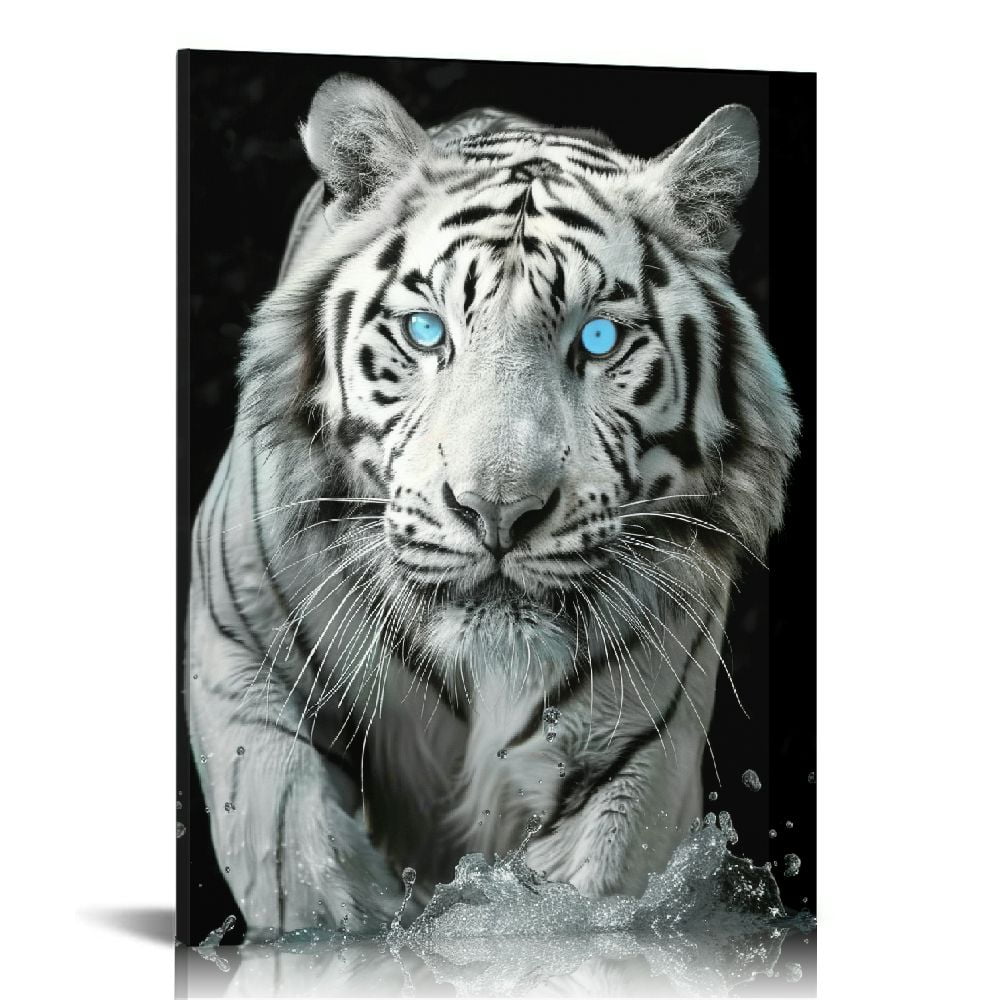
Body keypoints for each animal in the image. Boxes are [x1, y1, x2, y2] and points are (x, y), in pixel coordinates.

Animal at [186, 73, 799, 942]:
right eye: (424, 330)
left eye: (600, 338)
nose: (499, 512)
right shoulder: (244, 665)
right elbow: (299, 861)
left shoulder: (638, 743)